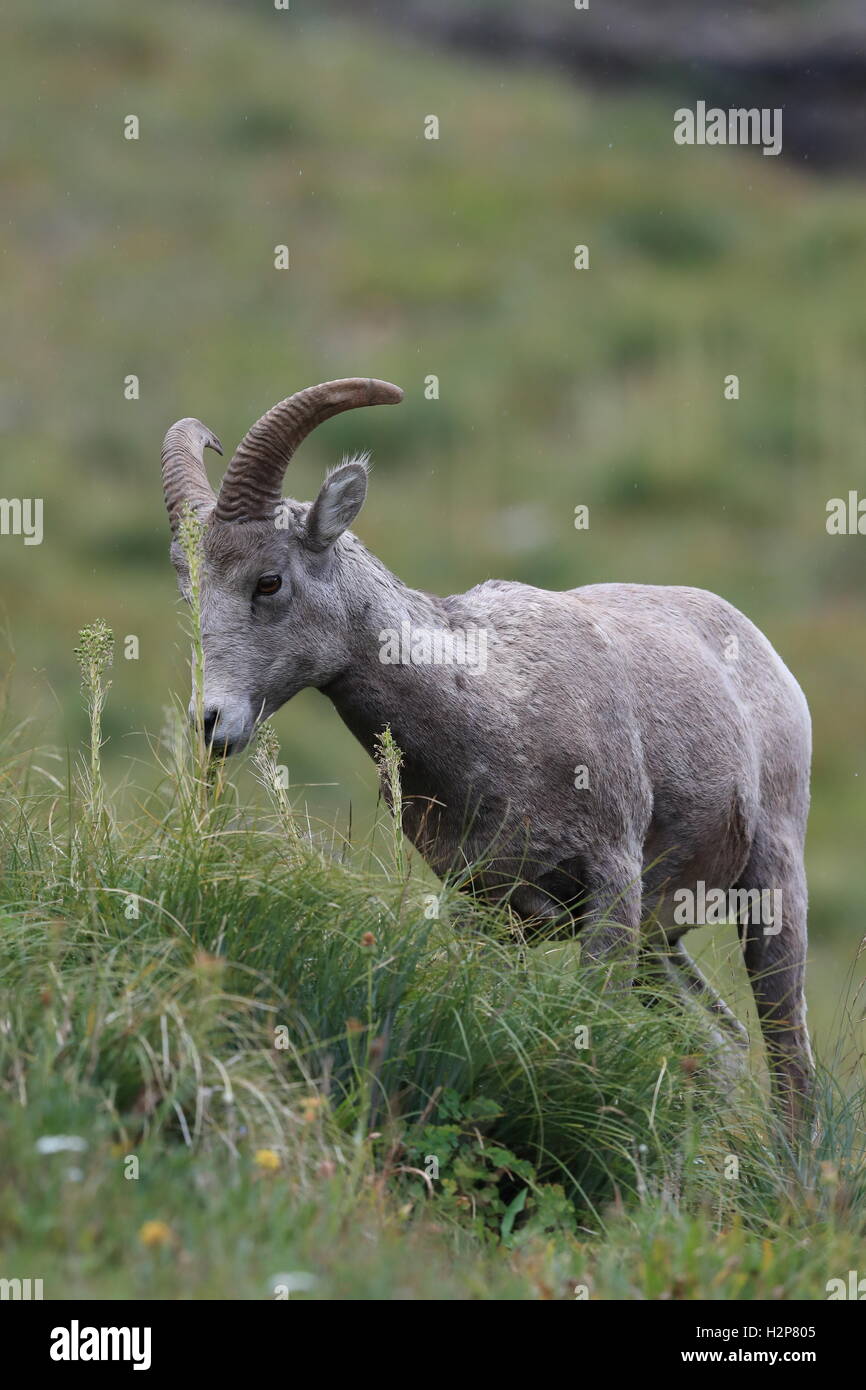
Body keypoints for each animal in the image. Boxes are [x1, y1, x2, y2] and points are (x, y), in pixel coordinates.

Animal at [161, 376, 815, 1129]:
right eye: (189, 591)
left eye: (268, 581)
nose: (212, 724)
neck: (494, 717)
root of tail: (759, 651)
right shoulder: (488, 911)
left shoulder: (611, 886)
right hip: (663, 942)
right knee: (722, 1045)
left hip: (769, 891)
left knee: (789, 1065)